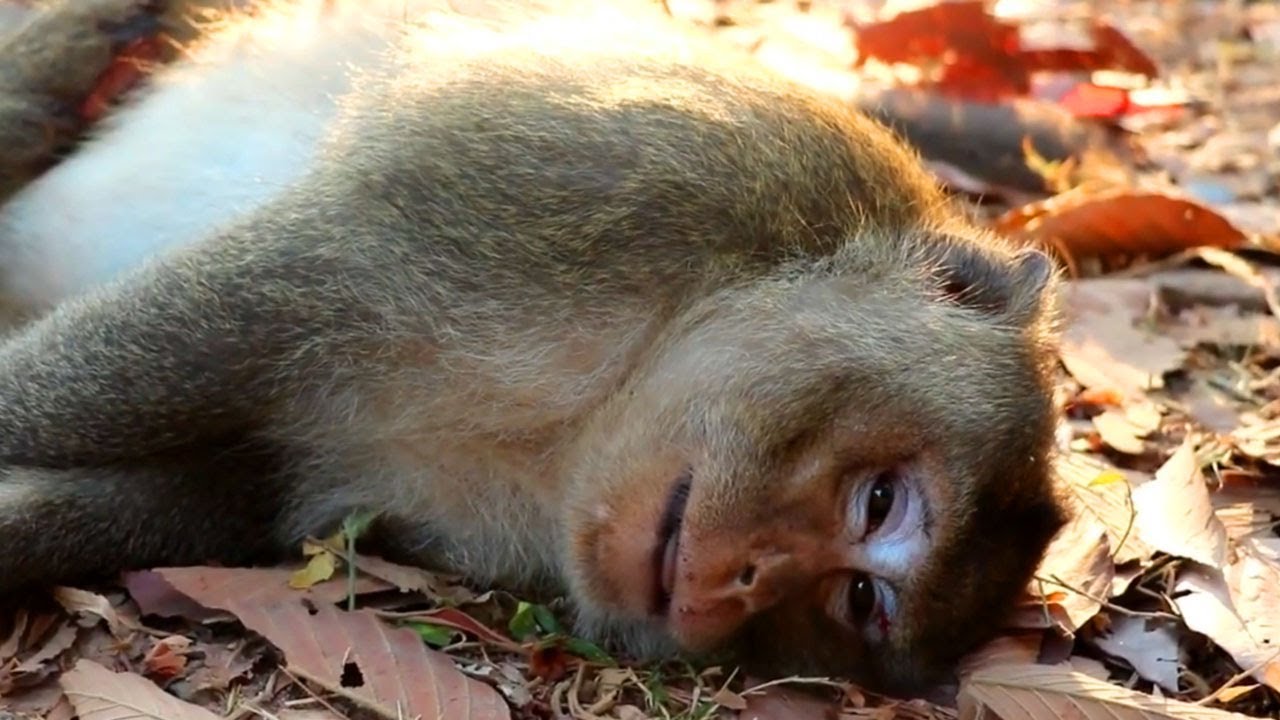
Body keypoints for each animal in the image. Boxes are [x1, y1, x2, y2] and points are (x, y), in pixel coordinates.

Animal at [0, 0, 1068, 698]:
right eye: (881, 501)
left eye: (855, 599)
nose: (749, 580)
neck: (589, 415)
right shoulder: (642, 172)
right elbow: (291, 283)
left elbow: (211, 486)